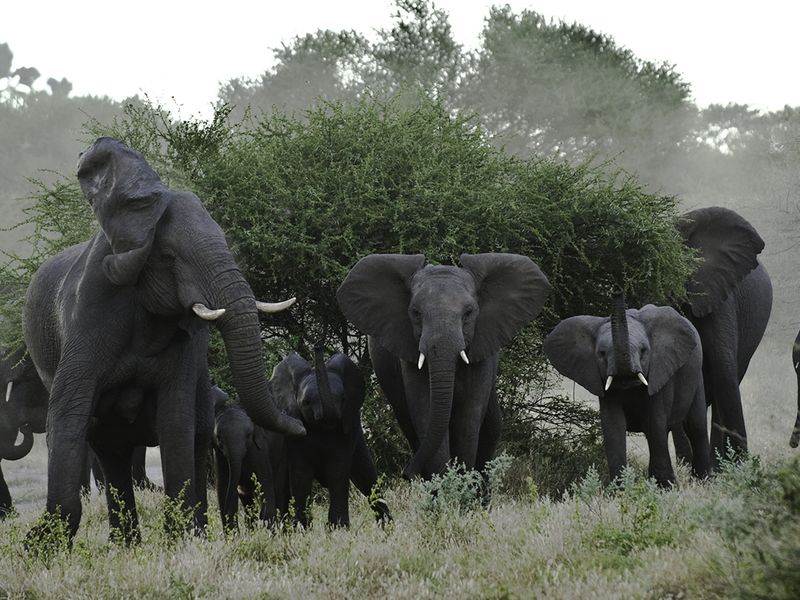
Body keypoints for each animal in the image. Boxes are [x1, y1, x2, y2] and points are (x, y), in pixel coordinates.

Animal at [212, 386, 285, 530]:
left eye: (248, 435)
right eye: (219, 438)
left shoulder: (260, 452)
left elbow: (266, 486)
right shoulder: (220, 457)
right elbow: (224, 487)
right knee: (247, 501)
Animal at [269, 348, 392, 528]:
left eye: (342, 399)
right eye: (306, 402)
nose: (317, 346)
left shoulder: (349, 423)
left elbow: (337, 469)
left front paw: (338, 527)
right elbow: (300, 473)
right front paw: (302, 527)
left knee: (366, 476)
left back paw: (386, 525)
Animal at [336, 253, 551, 480]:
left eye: (469, 313)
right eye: (415, 313)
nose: (405, 473)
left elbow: (468, 419)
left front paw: (460, 483)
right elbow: (425, 412)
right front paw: (443, 483)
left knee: (492, 426)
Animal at [544, 291, 710, 487]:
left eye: (644, 351)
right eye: (601, 354)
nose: (617, 290)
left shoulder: (658, 373)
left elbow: (654, 423)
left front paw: (664, 487)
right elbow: (613, 426)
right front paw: (619, 488)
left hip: (697, 375)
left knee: (696, 426)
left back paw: (705, 480)